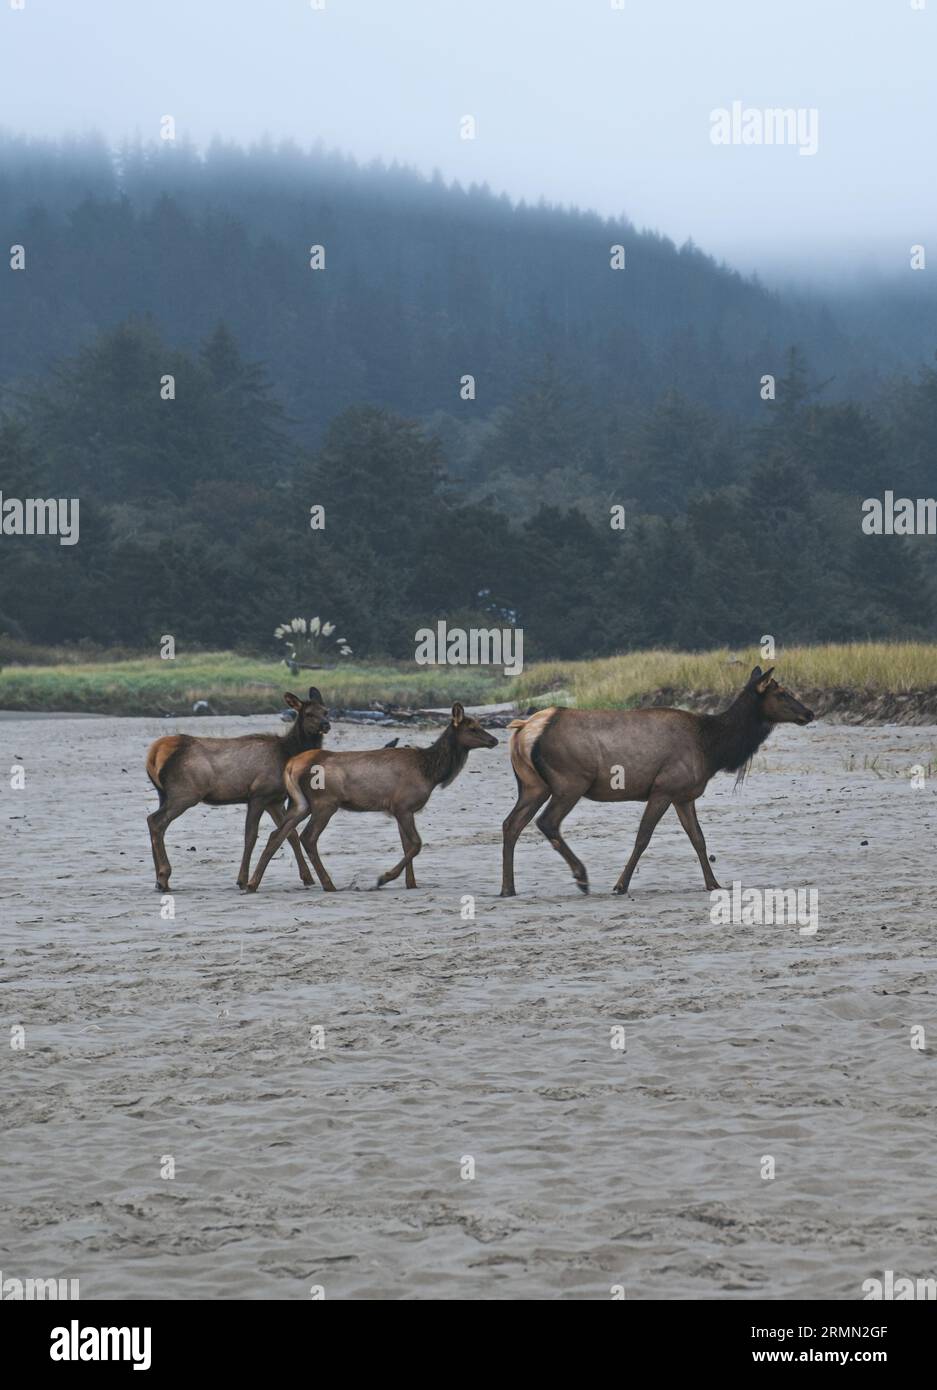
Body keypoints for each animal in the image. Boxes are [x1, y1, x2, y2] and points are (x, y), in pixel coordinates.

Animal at [145, 688, 331, 892]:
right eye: (309, 713)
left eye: (326, 711)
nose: (326, 724)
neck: (287, 754)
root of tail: (154, 754)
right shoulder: (259, 794)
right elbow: (251, 836)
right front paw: (242, 880)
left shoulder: (275, 801)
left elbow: (291, 834)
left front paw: (307, 878)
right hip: (185, 793)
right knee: (156, 821)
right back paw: (163, 877)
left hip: (164, 794)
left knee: (155, 824)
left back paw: (158, 879)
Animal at [244, 701, 498, 892]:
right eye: (472, 728)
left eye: (480, 724)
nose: (494, 740)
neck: (431, 772)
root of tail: (292, 766)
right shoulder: (403, 806)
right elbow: (416, 844)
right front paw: (383, 878)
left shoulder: (399, 809)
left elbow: (407, 845)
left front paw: (411, 883)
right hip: (325, 803)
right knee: (307, 837)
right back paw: (328, 884)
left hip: (301, 804)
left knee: (278, 834)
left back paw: (253, 883)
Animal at [500, 666, 814, 898]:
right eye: (782, 693)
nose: (810, 712)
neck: (712, 749)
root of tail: (525, 728)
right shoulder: (664, 787)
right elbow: (643, 837)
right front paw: (620, 884)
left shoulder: (684, 795)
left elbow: (698, 839)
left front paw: (713, 883)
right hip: (571, 781)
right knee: (547, 822)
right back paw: (581, 877)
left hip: (533, 785)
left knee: (511, 824)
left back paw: (508, 888)